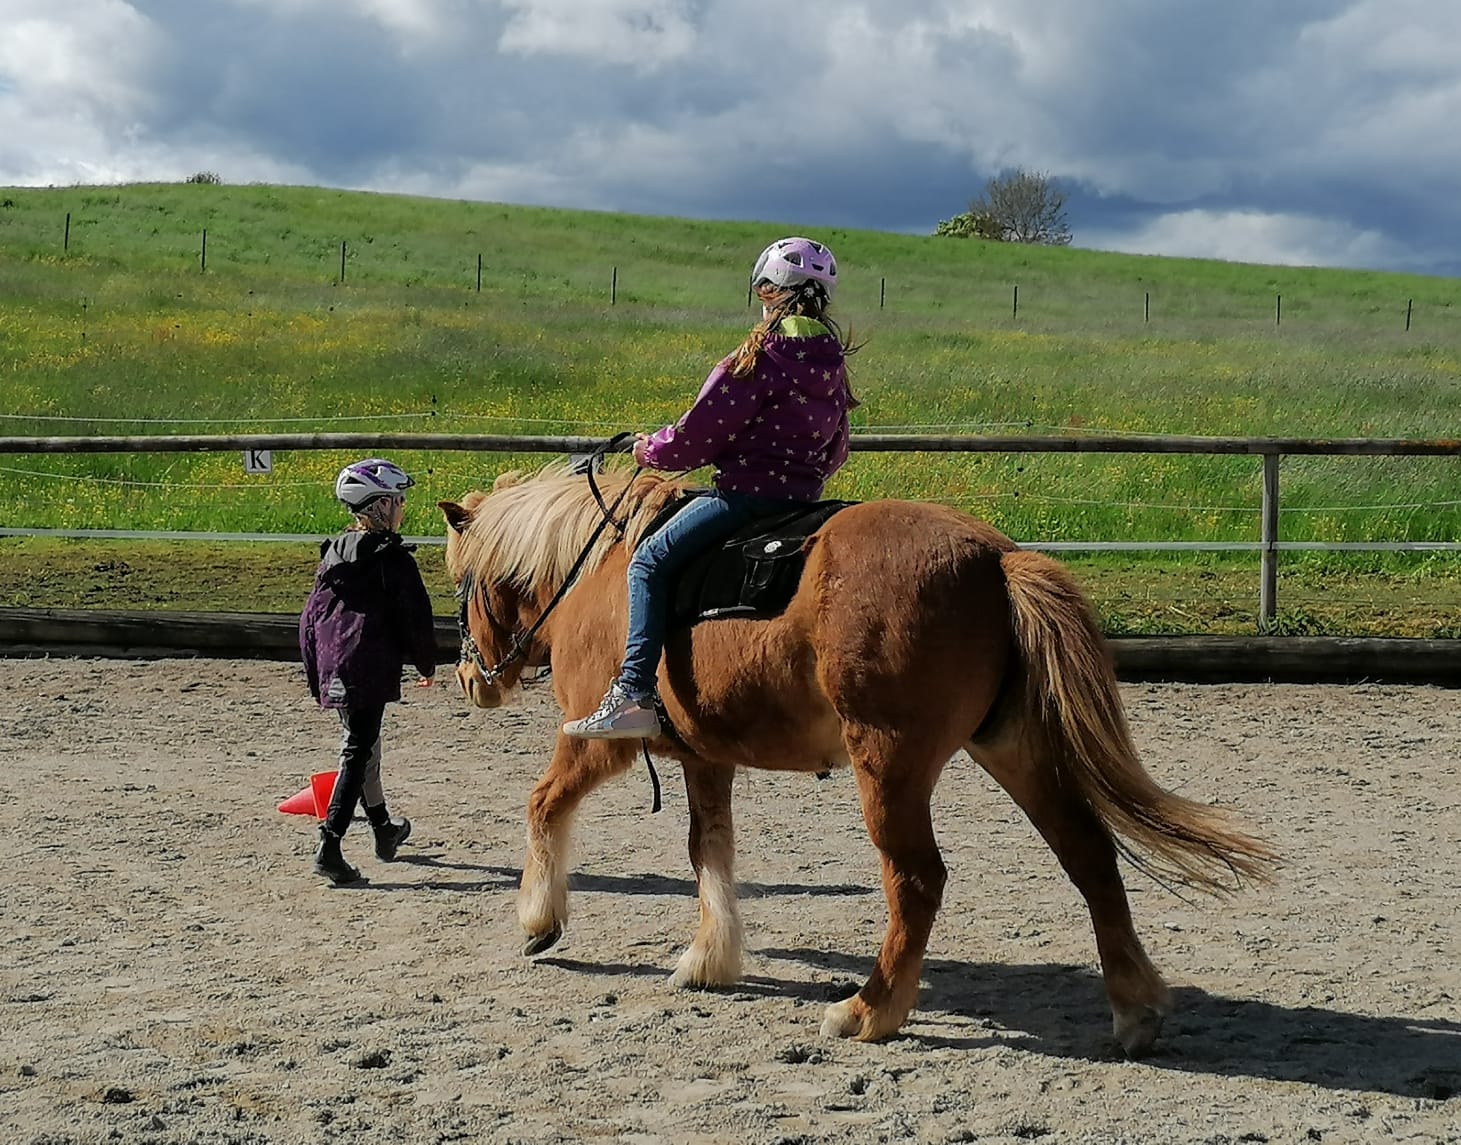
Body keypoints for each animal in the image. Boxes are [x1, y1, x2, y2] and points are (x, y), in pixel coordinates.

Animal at [438, 464, 1277, 1055]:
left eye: (463, 579)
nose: (472, 679)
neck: (601, 570)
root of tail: (995, 558)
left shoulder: (597, 740)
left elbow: (543, 801)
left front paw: (538, 919)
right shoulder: (705, 757)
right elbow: (708, 848)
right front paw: (709, 956)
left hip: (890, 765)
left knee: (917, 879)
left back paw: (869, 1010)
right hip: (1016, 748)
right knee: (1090, 858)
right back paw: (1133, 1010)